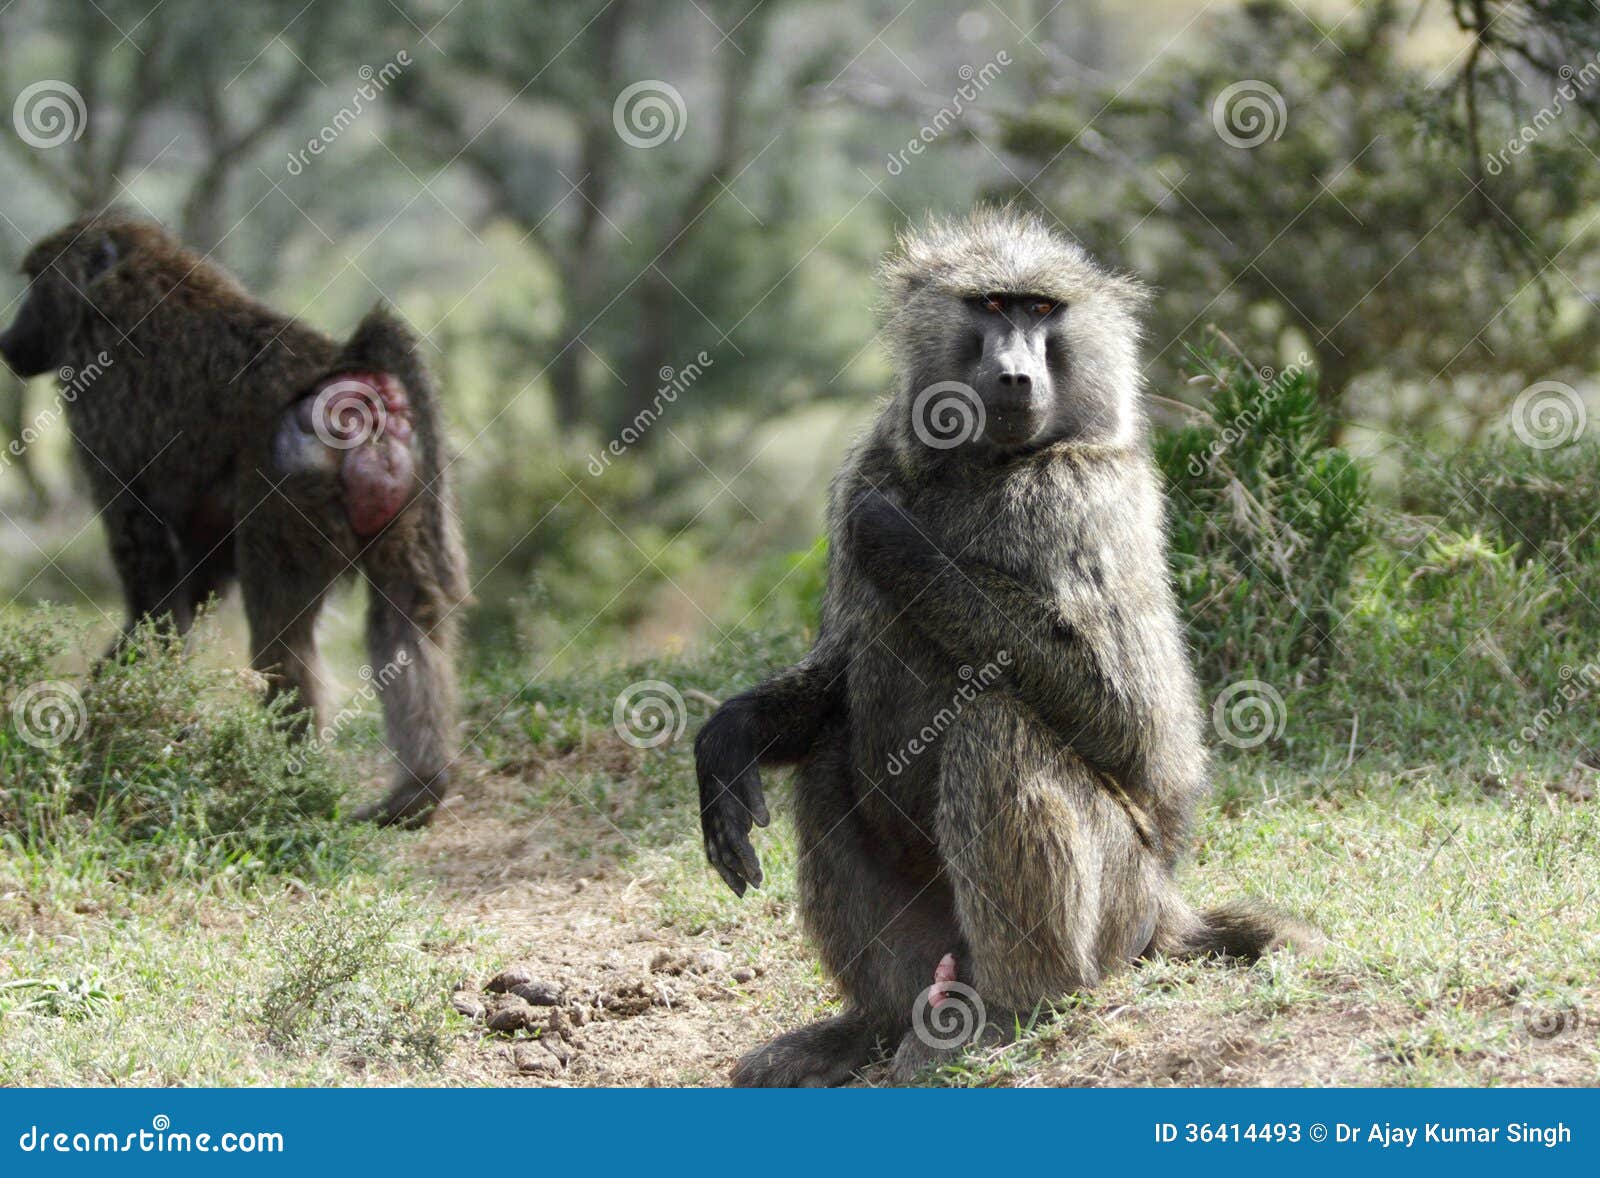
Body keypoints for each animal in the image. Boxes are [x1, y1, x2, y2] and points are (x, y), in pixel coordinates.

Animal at [0, 212, 468, 828]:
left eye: (34, 283)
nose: (7, 343)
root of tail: (340, 372)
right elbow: (199, 575)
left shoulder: (95, 404)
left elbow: (149, 577)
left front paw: (104, 723)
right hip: (409, 481)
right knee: (408, 616)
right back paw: (416, 795)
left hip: (288, 497)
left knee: (282, 644)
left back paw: (282, 787)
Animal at [694, 207, 1315, 1086]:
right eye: (990, 306)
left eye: (1041, 310)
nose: (1017, 375)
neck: (985, 465)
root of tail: (1166, 906)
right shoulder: (863, 470)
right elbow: (840, 669)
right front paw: (731, 738)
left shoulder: (1080, 497)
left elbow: (1131, 722)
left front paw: (907, 543)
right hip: (935, 937)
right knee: (830, 752)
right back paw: (870, 1027)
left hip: (1118, 904)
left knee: (995, 724)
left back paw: (1017, 1009)